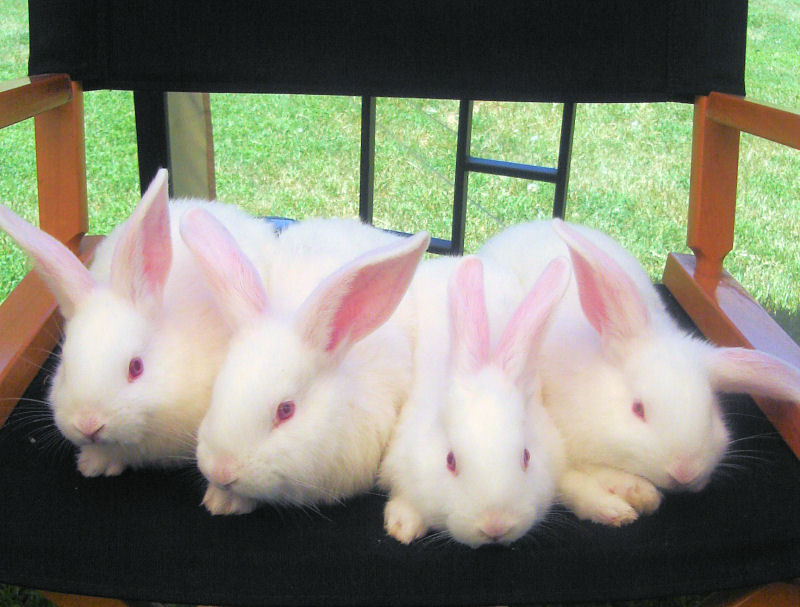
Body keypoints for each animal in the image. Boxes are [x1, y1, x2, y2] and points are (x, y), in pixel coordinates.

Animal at [478, 218, 800, 526]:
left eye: (711, 414)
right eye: (638, 409)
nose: (684, 472)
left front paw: (637, 494)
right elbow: (571, 482)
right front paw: (621, 505)